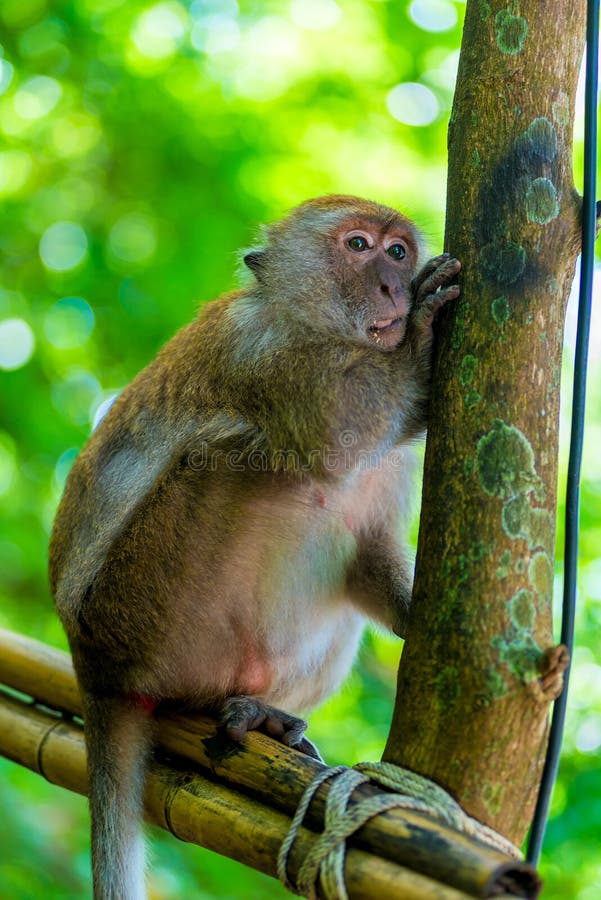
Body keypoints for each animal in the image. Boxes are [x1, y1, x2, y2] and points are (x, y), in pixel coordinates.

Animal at [48, 195, 461, 899]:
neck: (316, 328)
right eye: (358, 245)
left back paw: (255, 712)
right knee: (232, 451)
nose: (393, 287)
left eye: (397, 250)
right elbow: (334, 430)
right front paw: (424, 337)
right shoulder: (263, 358)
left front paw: (425, 616)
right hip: (140, 610)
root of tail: (89, 670)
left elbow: (369, 552)